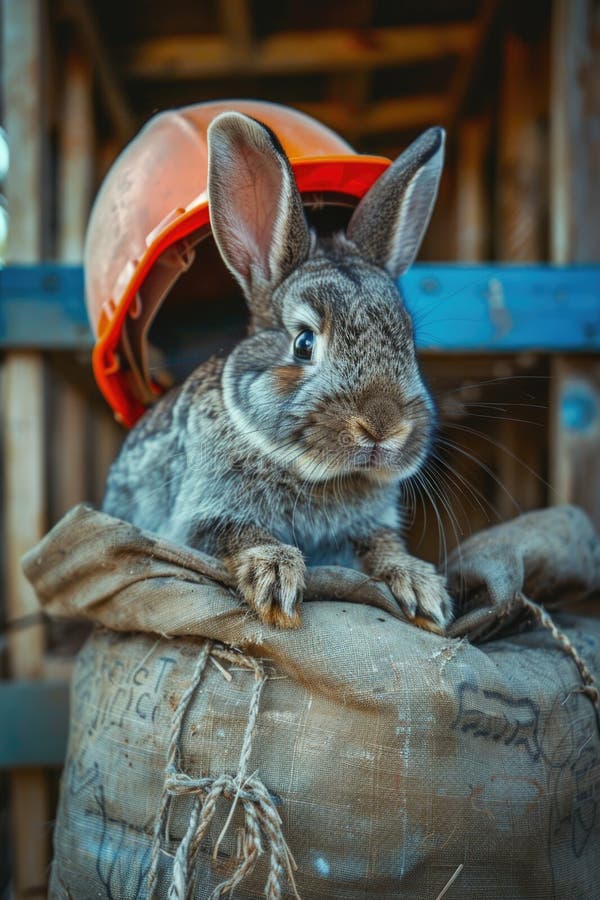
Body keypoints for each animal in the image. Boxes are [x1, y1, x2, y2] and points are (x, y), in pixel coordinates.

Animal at [103, 111, 453, 632]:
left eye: (408, 341)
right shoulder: (201, 516)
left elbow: (382, 547)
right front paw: (275, 577)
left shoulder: (368, 528)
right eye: (304, 343)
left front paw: (421, 588)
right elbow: (240, 534)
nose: (383, 426)